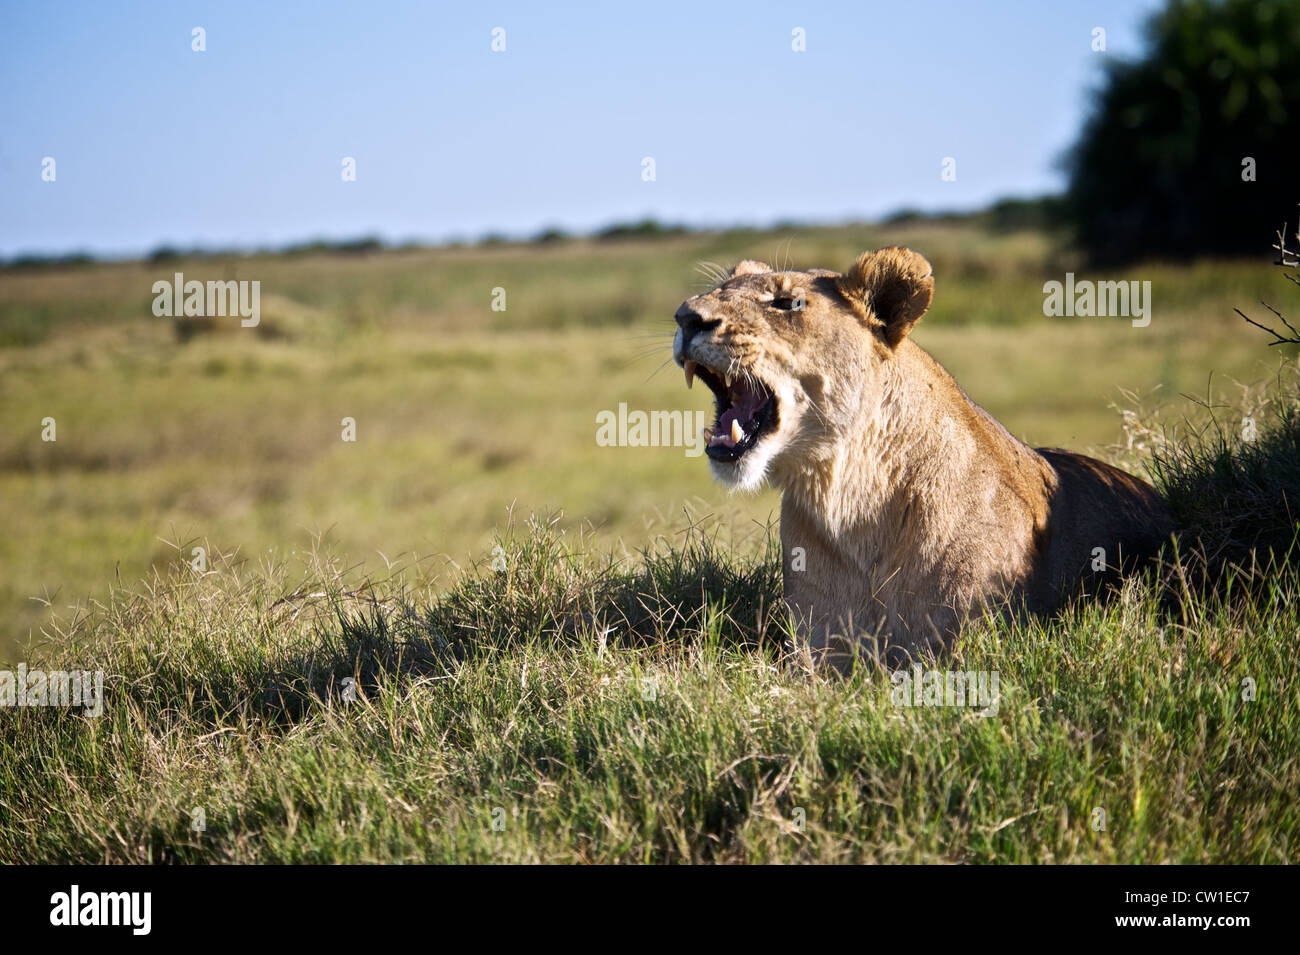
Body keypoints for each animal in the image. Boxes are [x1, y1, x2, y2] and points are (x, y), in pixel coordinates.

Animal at [672, 247, 1174, 671]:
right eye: (720, 289)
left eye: (786, 303)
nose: (685, 317)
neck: (851, 505)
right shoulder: (817, 653)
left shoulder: (967, 649)